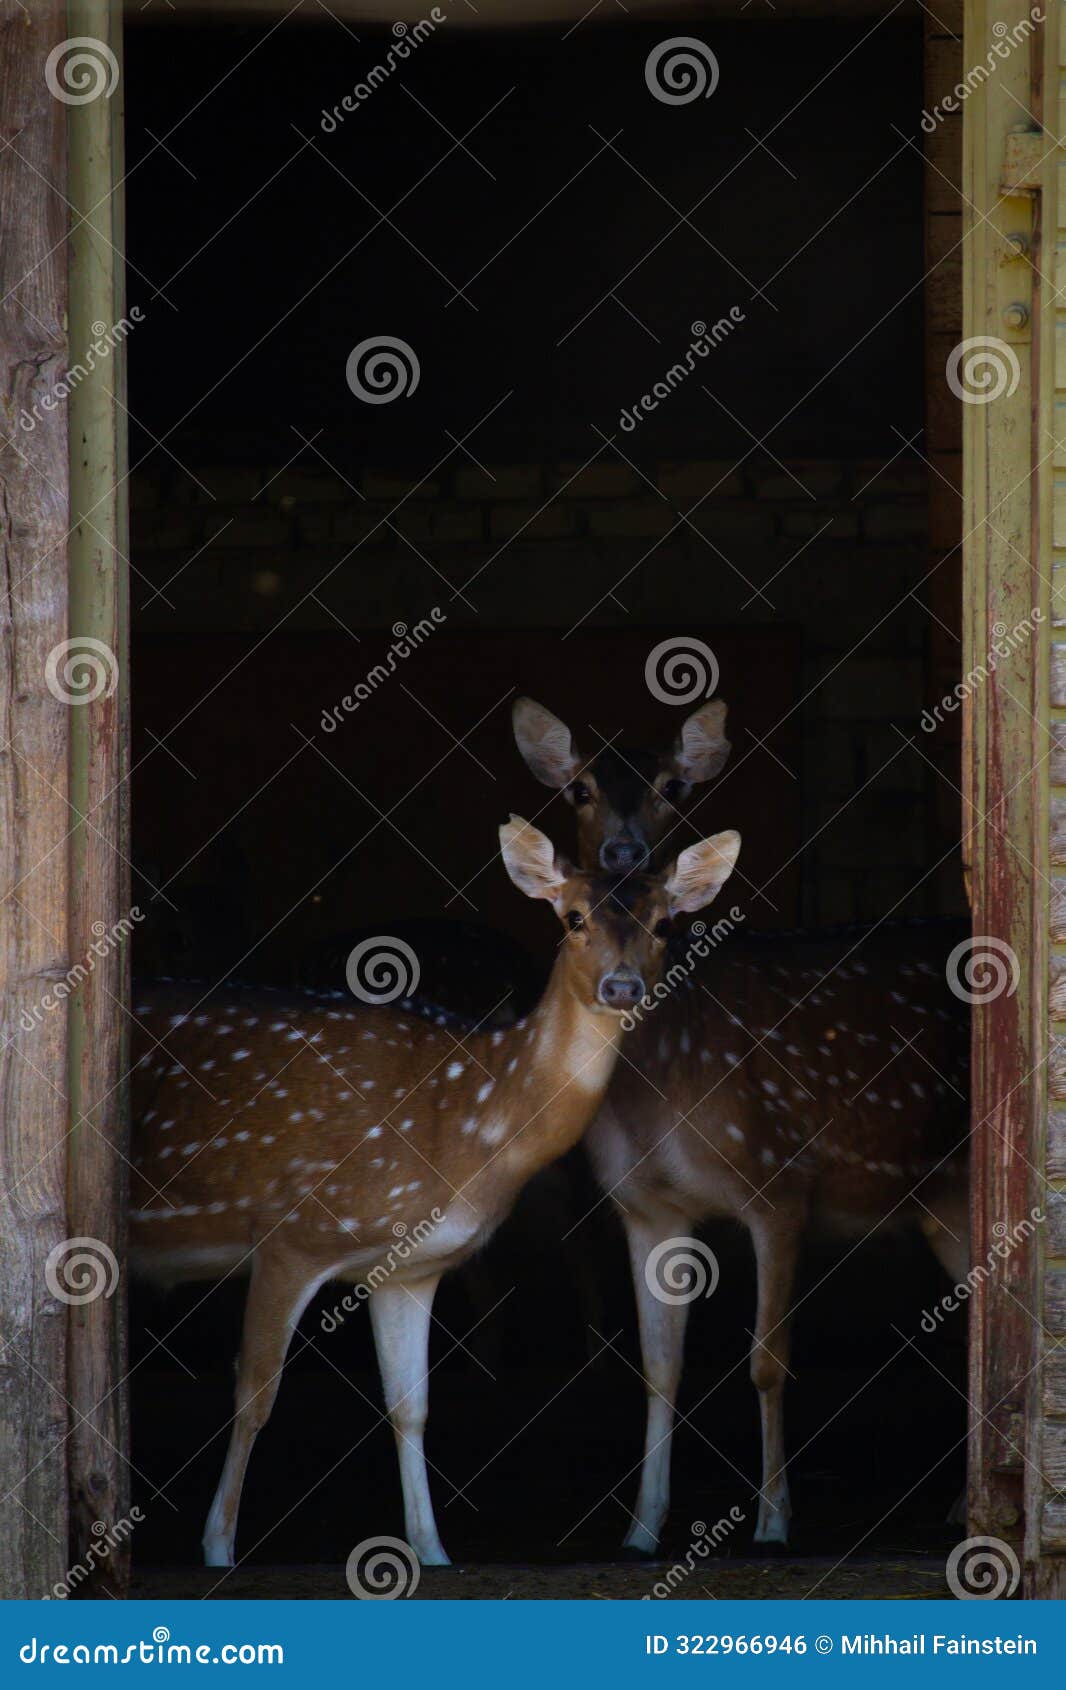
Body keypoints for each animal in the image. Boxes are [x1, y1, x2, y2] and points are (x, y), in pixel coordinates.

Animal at [129, 815, 742, 1569]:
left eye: (662, 924)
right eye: (572, 917)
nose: (622, 987)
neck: (465, 1119)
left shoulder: (409, 1267)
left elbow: (410, 1406)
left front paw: (432, 1548)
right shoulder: (291, 1231)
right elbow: (254, 1394)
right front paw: (216, 1548)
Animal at [514, 697, 970, 1554]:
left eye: (672, 786)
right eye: (582, 788)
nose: (626, 849)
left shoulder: (781, 1178)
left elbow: (768, 1360)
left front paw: (774, 1520)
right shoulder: (644, 1207)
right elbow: (660, 1366)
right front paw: (640, 1527)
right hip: (943, 1207)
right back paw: (964, 1502)